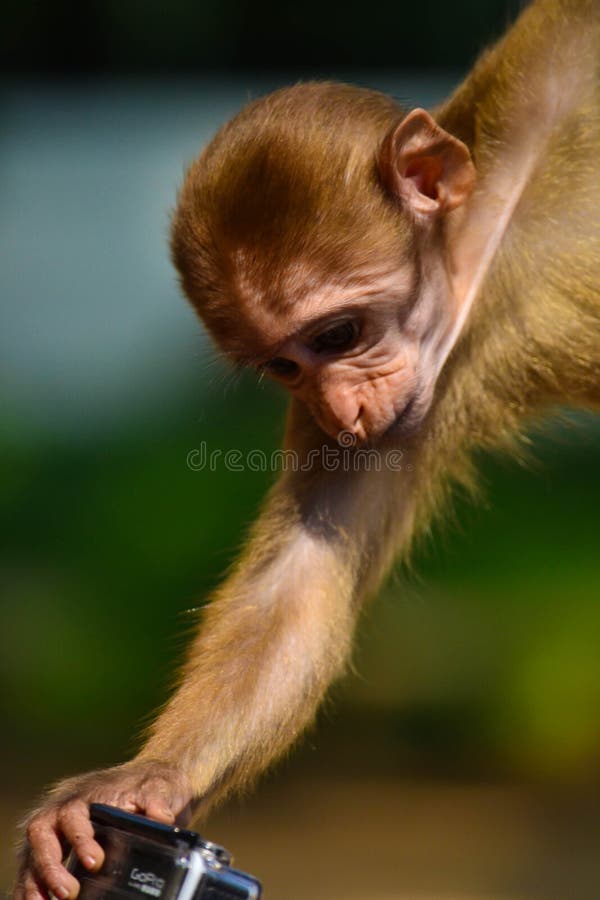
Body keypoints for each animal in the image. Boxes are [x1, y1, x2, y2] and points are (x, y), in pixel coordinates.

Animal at [14, 0, 599, 897]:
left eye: (338, 334)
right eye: (284, 367)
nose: (342, 410)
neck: (487, 253)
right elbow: (306, 576)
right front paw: (143, 782)